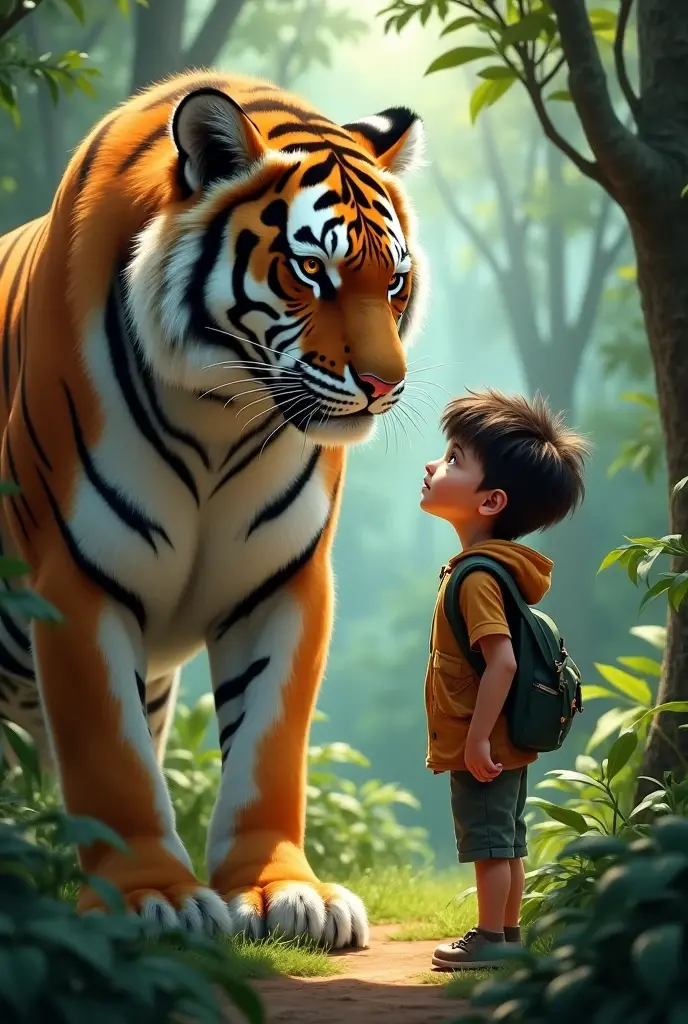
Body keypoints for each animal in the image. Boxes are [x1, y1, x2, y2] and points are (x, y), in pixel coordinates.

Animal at [0, 70, 426, 947]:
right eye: (313, 272)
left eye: (394, 282)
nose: (385, 383)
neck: (222, 410)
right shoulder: (76, 579)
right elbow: (112, 756)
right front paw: (149, 899)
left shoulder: (283, 582)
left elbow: (269, 745)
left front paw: (282, 894)